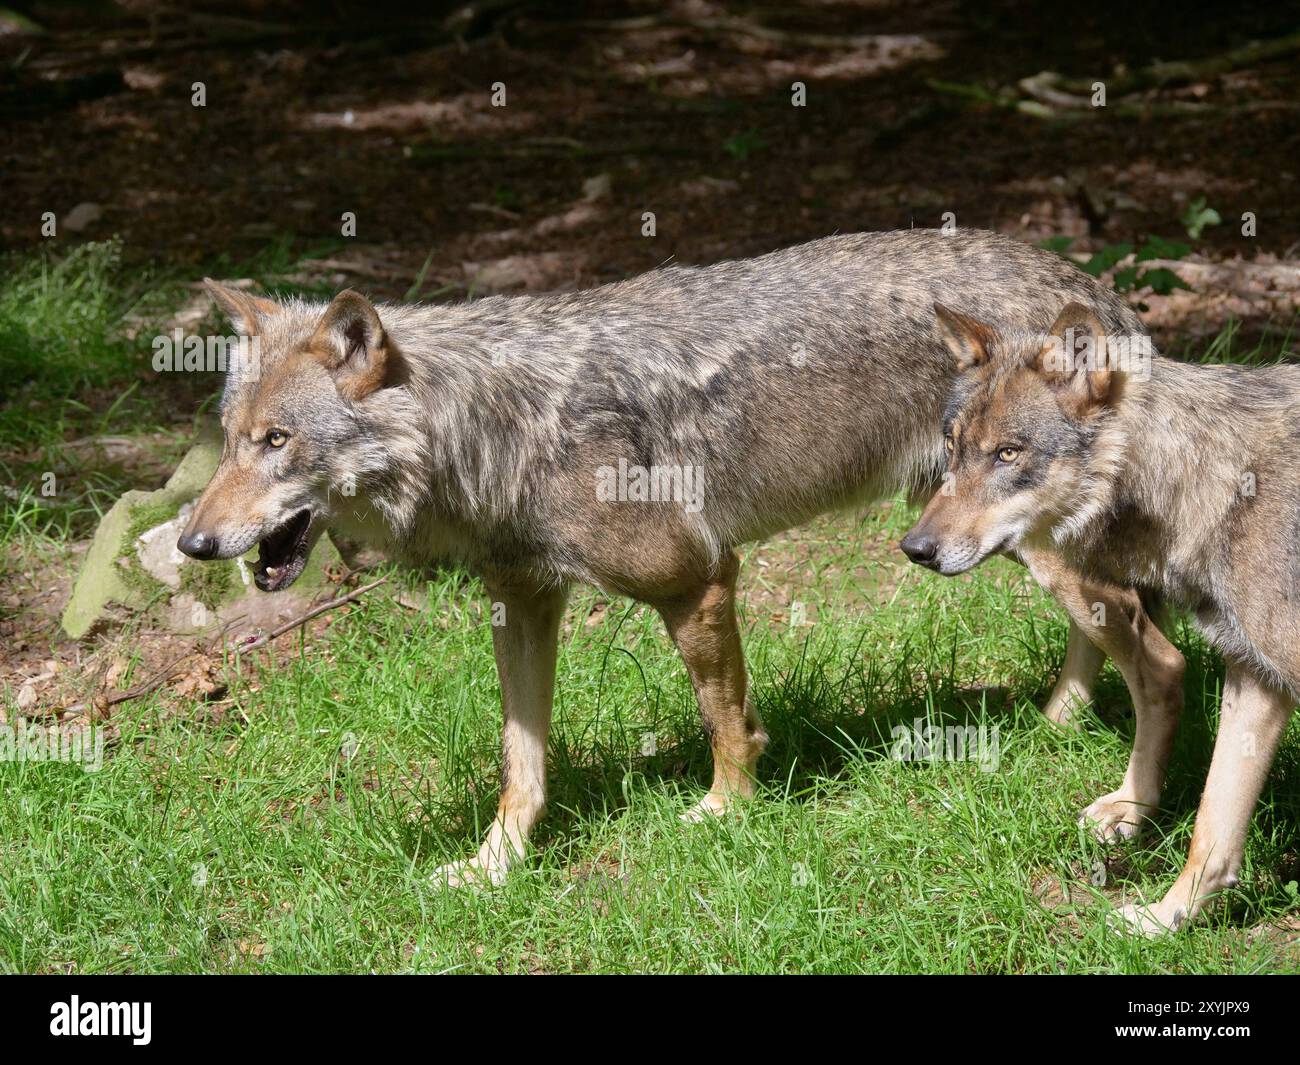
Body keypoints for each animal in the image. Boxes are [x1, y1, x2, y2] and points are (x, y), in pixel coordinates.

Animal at [179, 229, 1166, 887]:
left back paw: (1119, 795)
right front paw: (493, 865)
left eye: (277, 441)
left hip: (1024, 550)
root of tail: (1092, 290)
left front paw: (727, 814)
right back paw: (1055, 722)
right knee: (1099, 638)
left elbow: (728, 725)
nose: (192, 541)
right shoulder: (524, 604)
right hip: (1000, 545)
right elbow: (520, 765)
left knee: (1147, 650)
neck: (492, 429)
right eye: (230, 439)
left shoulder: (698, 579)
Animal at [901, 300, 1298, 934]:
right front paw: (1165, 921)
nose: (914, 548)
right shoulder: (1255, 675)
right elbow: (1211, 828)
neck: (1219, 485)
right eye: (953, 447)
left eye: (1008, 453)